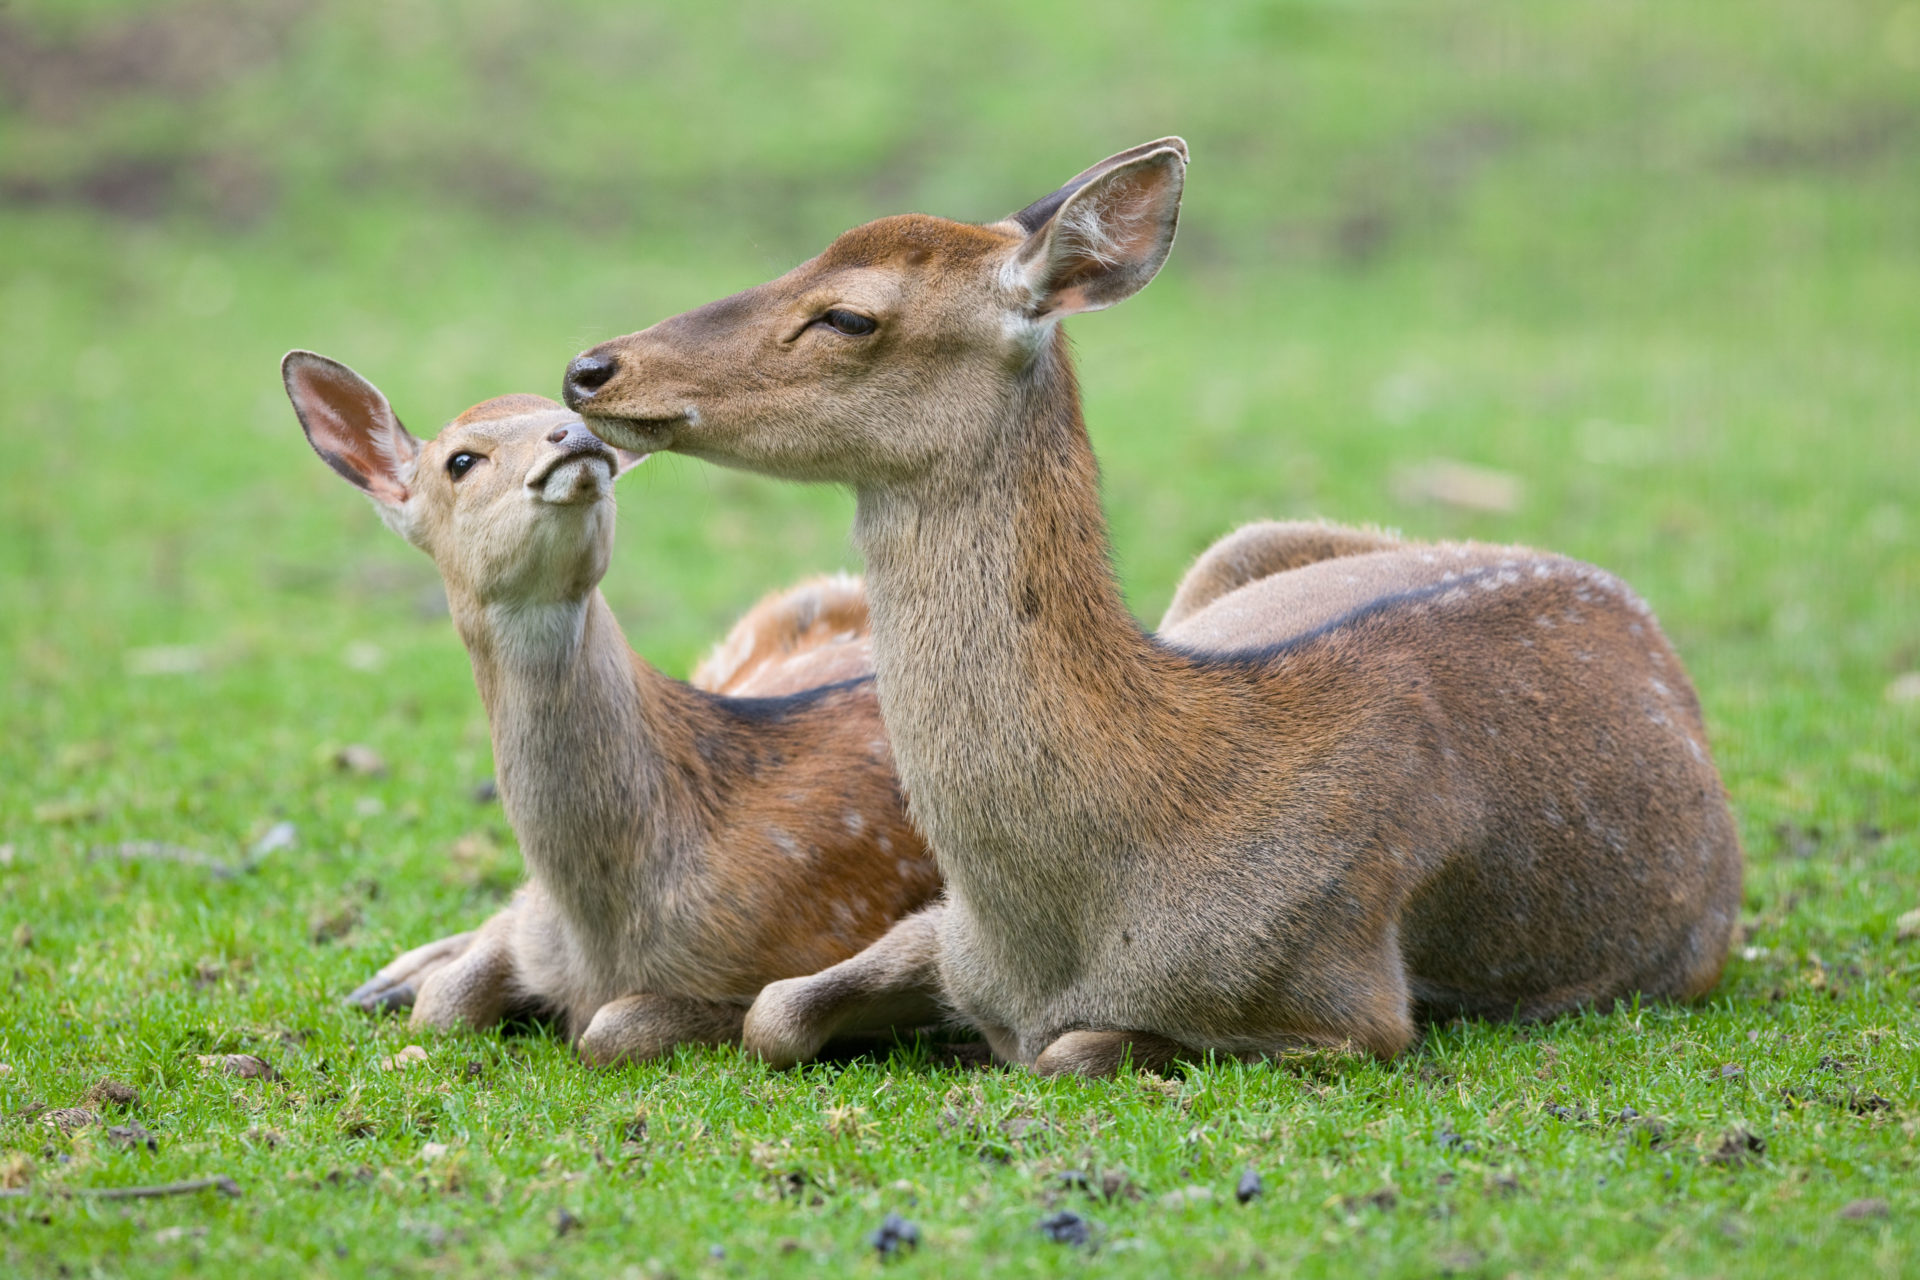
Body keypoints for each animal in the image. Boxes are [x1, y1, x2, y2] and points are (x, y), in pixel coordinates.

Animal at [280, 351, 940, 1065]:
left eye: (567, 413)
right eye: (461, 460)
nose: (575, 435)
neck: (601, 934)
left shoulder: (806, 940)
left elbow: (613, 1030)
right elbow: (444, 1005)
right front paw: (412, 992)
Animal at [558, 138, 1745, 1077]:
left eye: (848, 314)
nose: (592, 366)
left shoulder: (1346, 999)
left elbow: (1072, 1051)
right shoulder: (943, 927)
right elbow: (766, 1012)